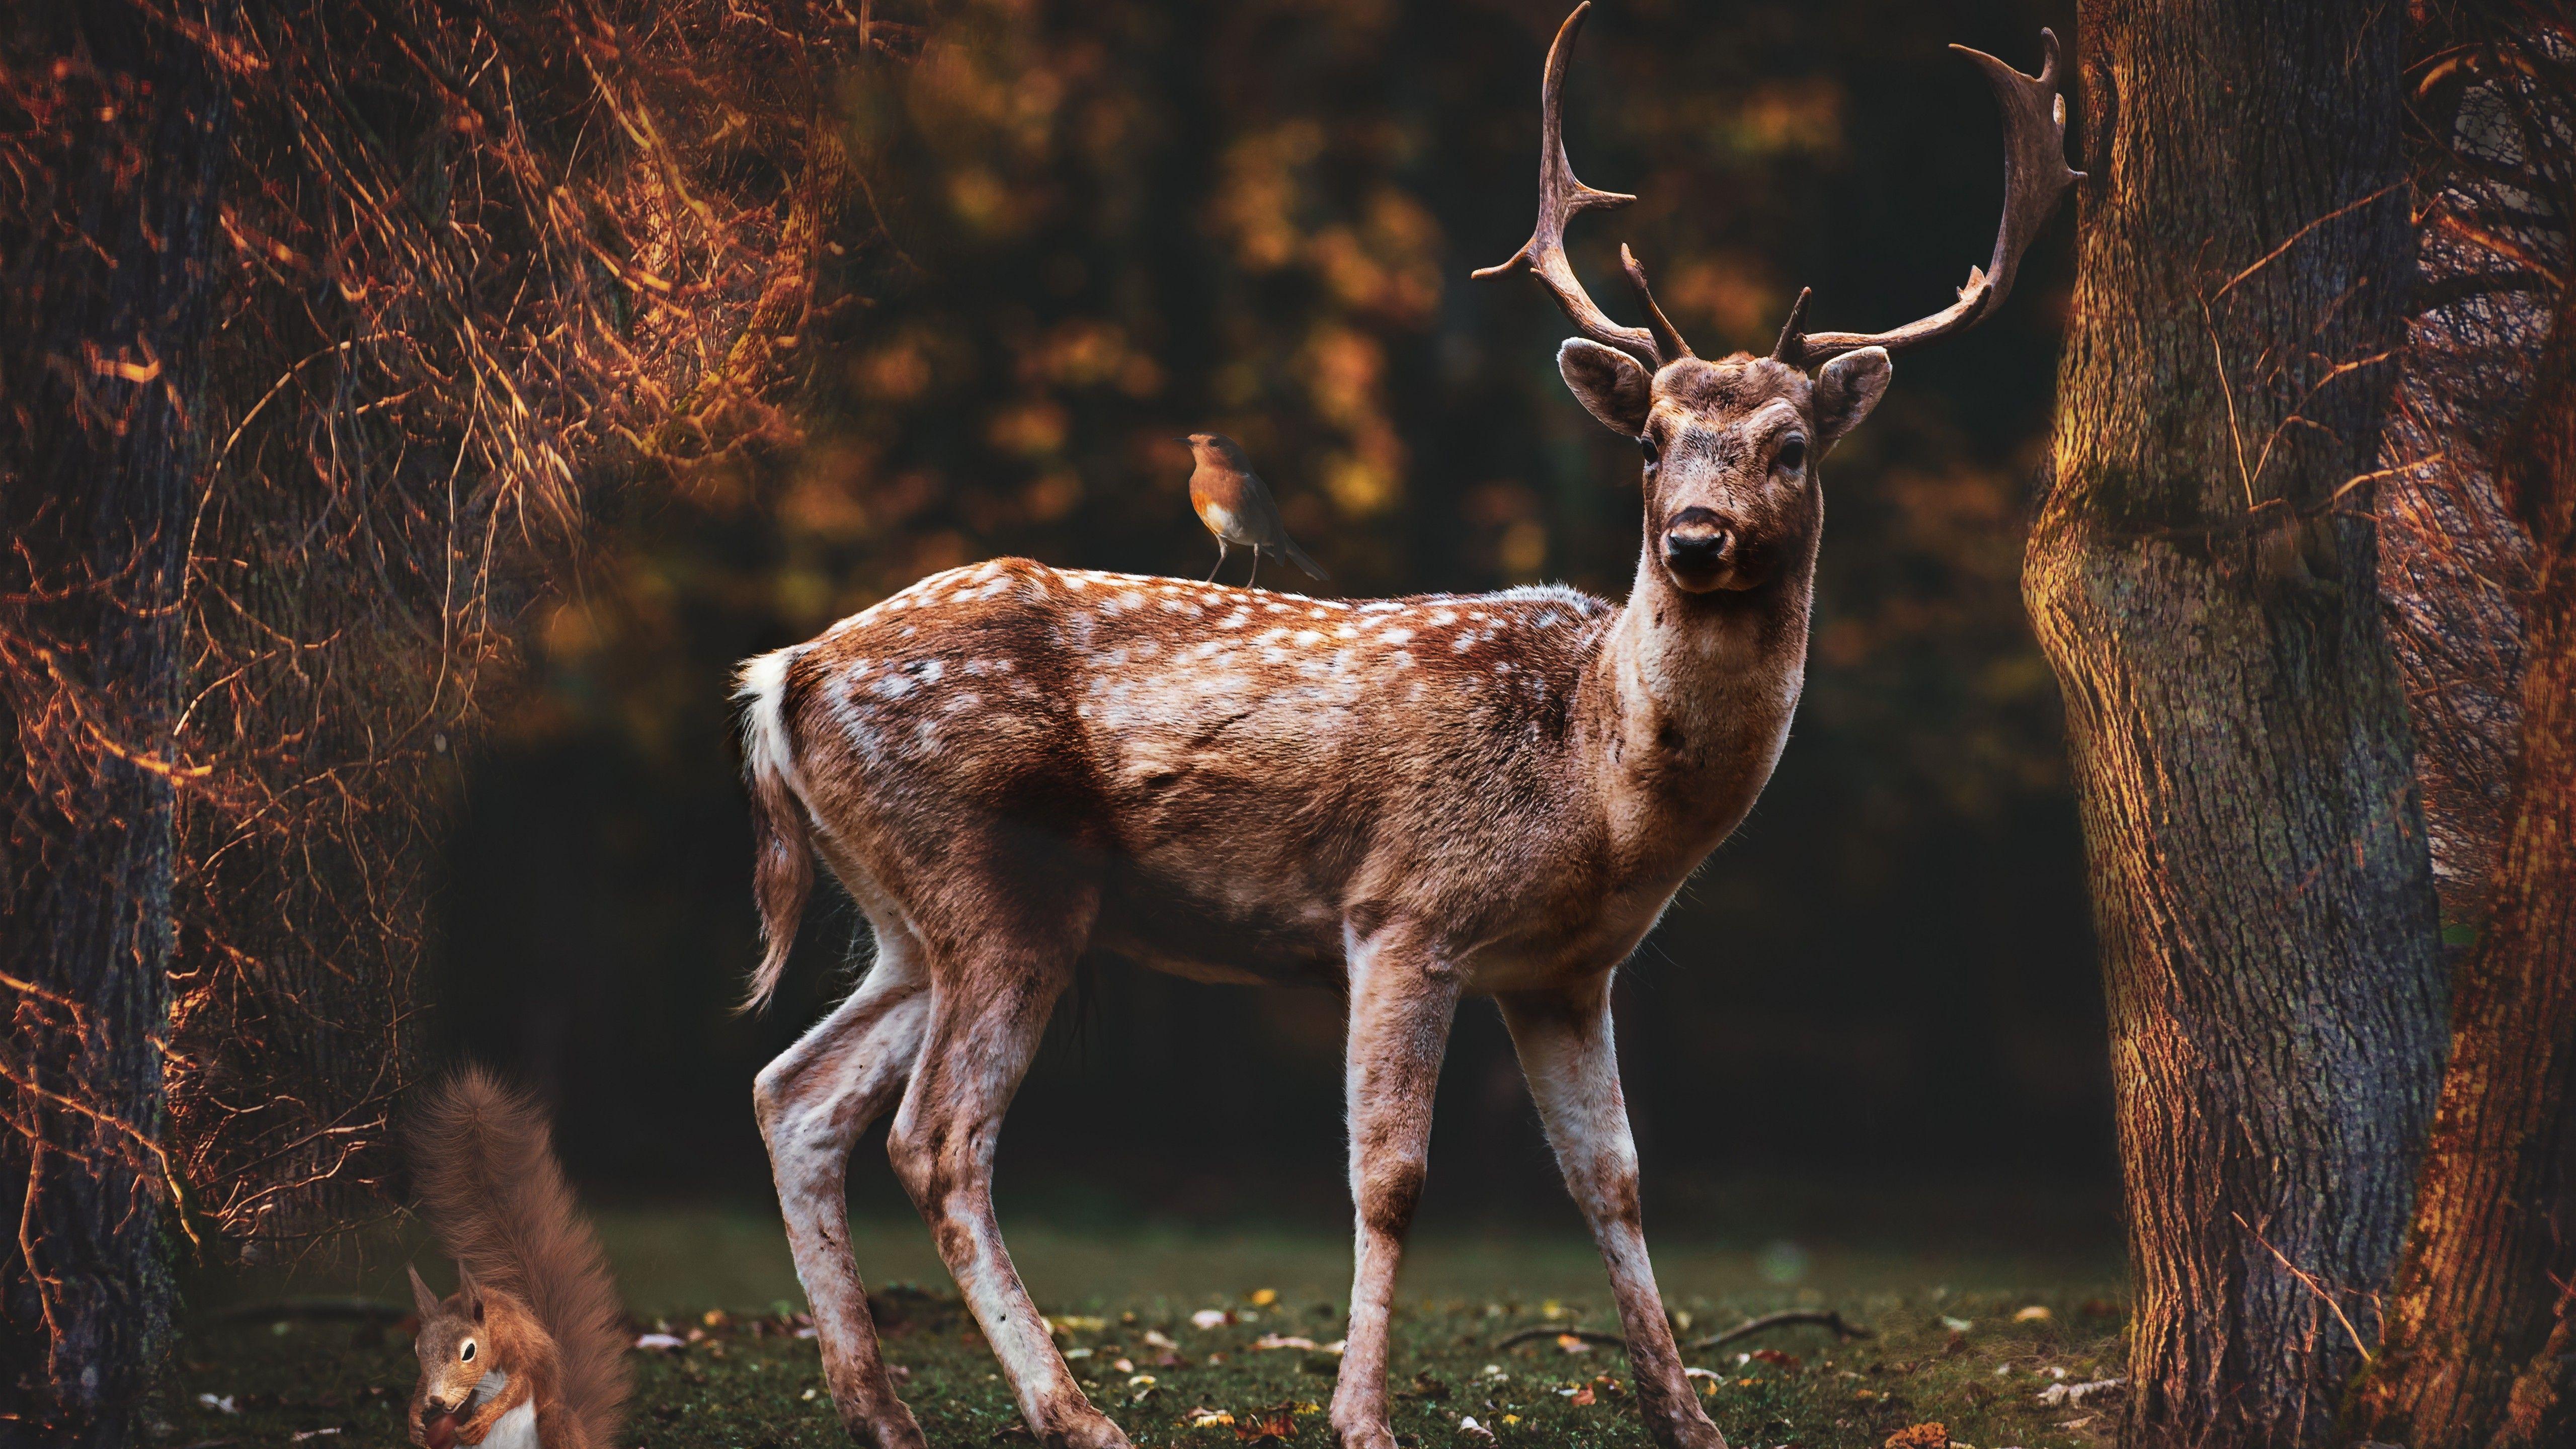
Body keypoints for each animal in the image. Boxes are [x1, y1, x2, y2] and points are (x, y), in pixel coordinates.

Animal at [736, 7, 2077, 1448]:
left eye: (1790, 446)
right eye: (1651, 440)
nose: (1694, 538)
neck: (1598, 785)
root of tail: (784, 675)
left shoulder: (1566, 970)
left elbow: (1613, 1178)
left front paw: (1687, 1415)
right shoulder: (1403, 910)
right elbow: (1390, 1176)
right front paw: (1360, 1416)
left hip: (904, 911)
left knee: (796, 1094)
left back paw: (882, 1408)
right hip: (999, 880)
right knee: (936, 1138)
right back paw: (1073, 1412)